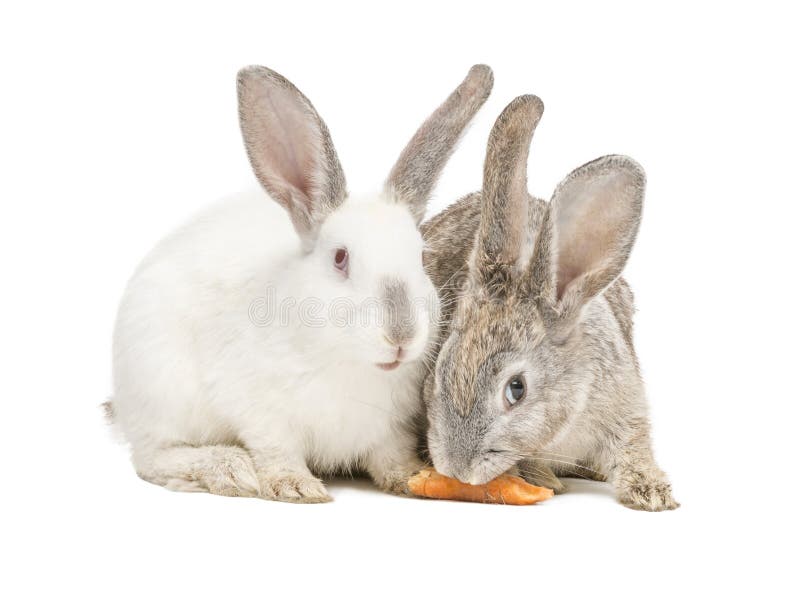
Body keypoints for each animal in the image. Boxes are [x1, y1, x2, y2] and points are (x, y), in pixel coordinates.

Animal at [108, 64, 494, 503]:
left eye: (422, 257)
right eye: (340, 258)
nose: (401, 335)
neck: (349, 362)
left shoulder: (391, 430)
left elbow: (390, 457)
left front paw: (412, 478)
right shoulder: (260, 413)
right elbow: (276, 450)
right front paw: (296, 486)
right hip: (163, 393)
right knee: (153, 457)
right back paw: (226, 469)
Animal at [420, 94, 679, 511]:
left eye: (517, 389)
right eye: (439, 370)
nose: (456, 469)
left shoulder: (627, 407)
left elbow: (633, 447)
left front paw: (652, 493)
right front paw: (544, 479)